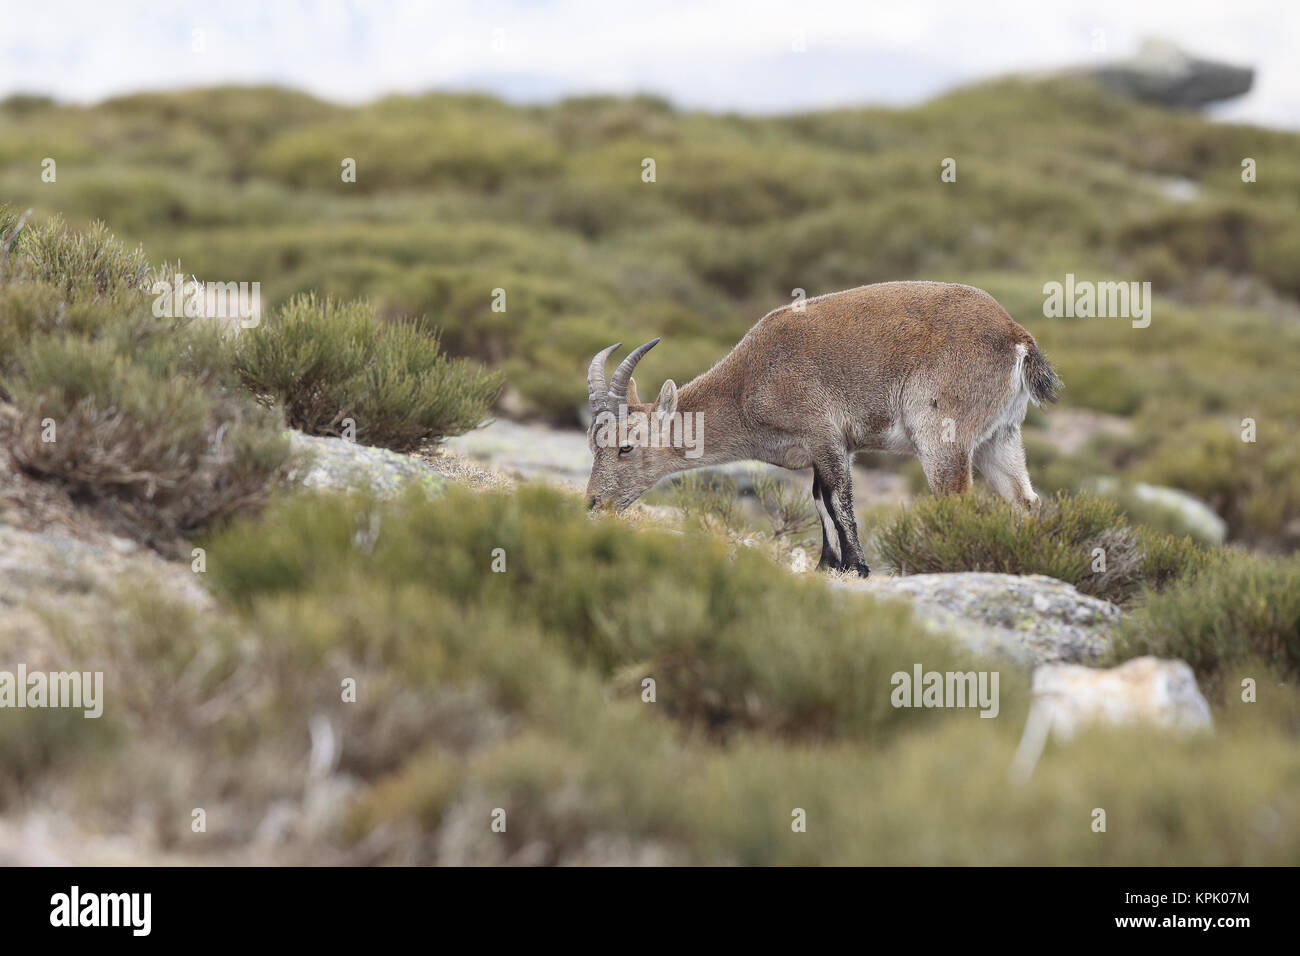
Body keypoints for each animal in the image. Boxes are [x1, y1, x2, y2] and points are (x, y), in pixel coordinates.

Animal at [584, 281, 1061, 577]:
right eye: (593, 444)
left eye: (625, 446)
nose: (592, 503)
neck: (750, 382)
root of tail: (1016, 337)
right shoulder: (823, 450)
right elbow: (820, 500)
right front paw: (829, 564)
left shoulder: (825, 435)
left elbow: (840, 500)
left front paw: (858, 567)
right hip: (1000, 437)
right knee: (1026, 501)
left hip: (942, 437)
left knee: (957, 501)